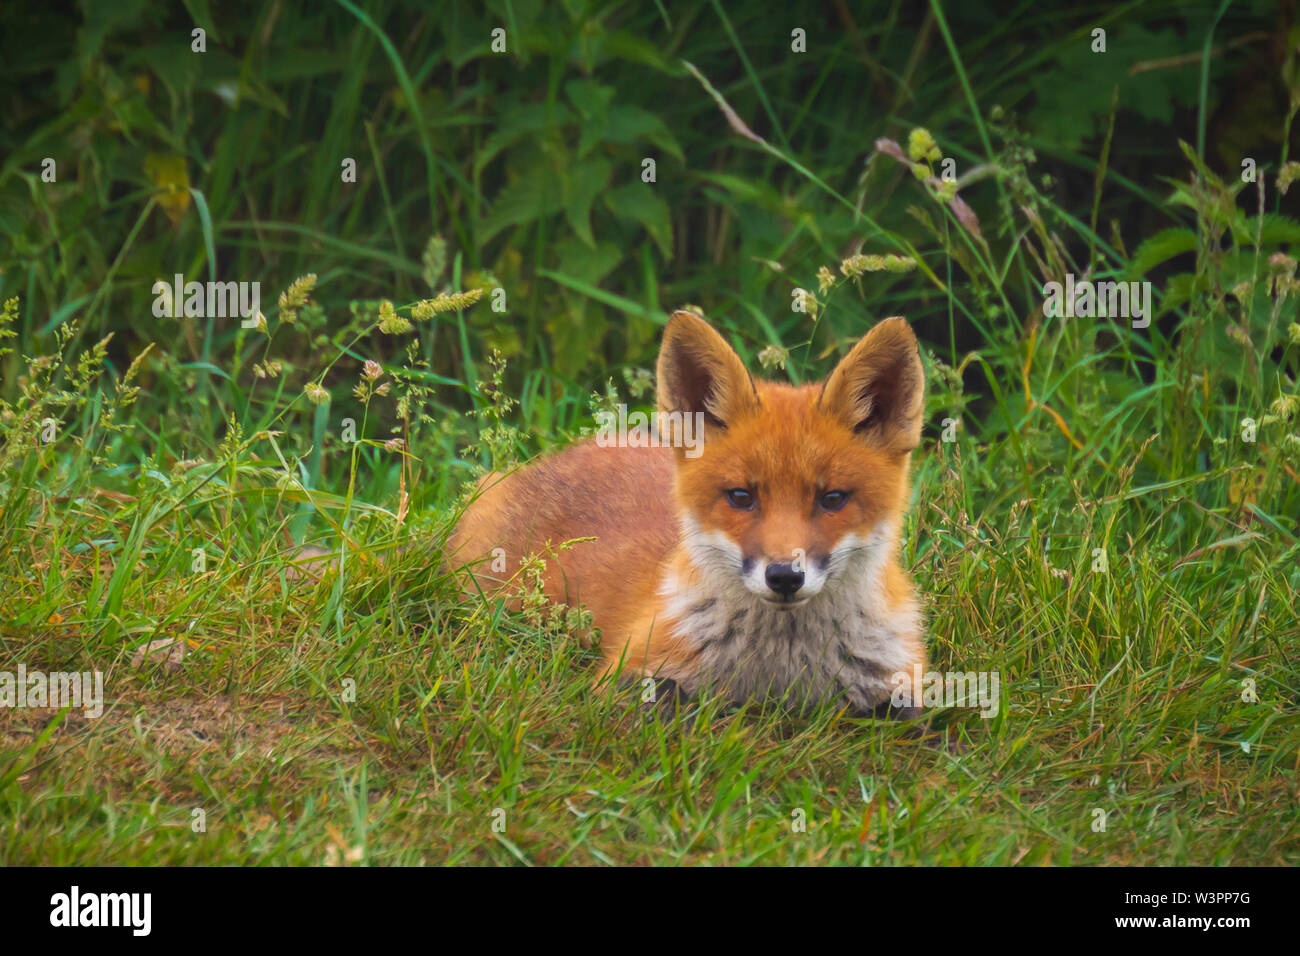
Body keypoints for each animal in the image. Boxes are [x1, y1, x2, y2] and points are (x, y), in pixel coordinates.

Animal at [447, 310, 927, 718]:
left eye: (832, 498)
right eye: (741, 496)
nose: (785, 577)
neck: (782, 672)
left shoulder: (907, 685)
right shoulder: (626, 673)